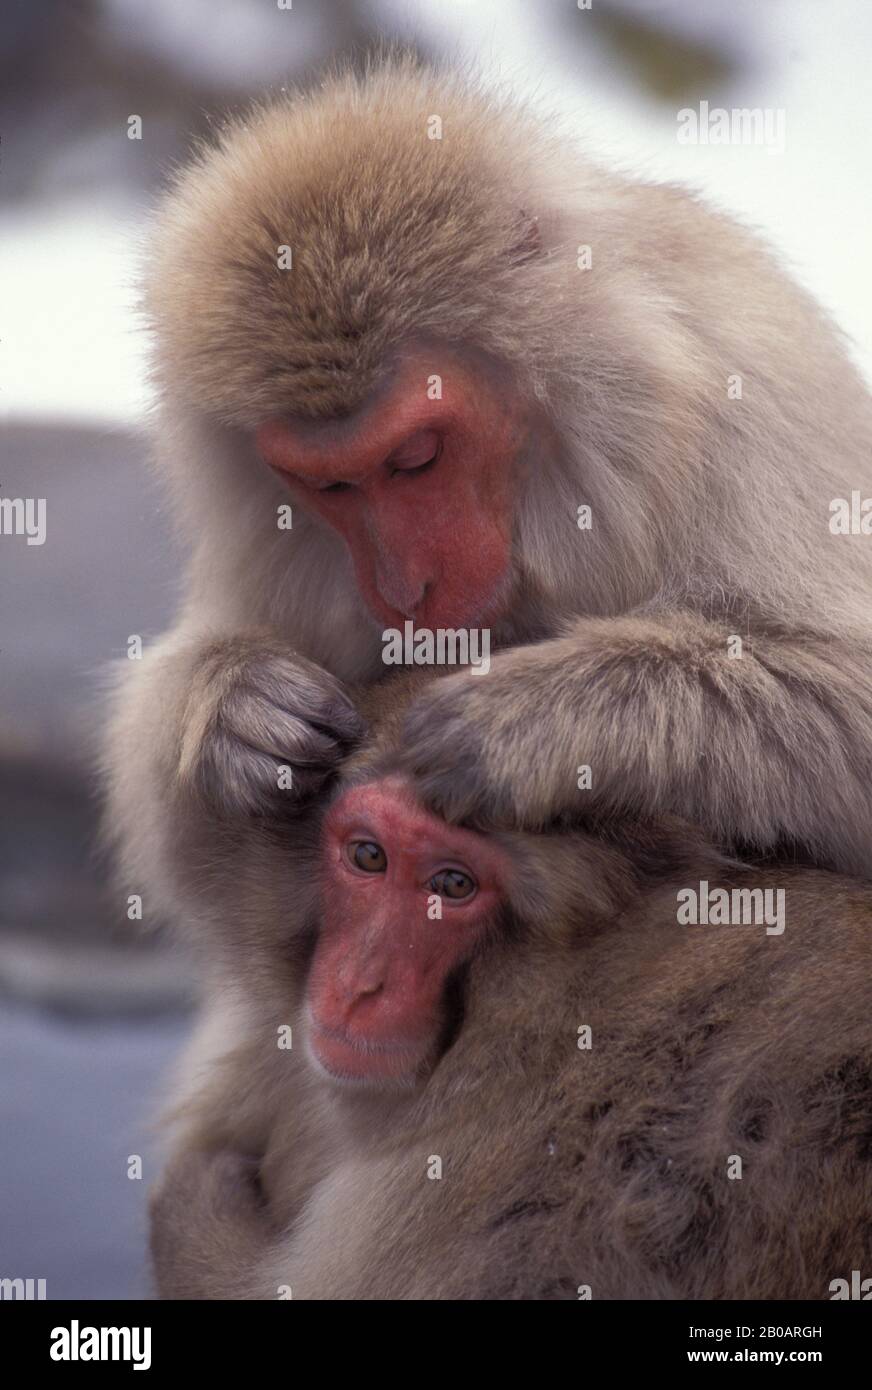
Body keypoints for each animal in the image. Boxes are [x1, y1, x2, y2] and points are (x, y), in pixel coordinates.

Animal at [102, 56, 872, 932]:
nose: (405, 589)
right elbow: (200, 871)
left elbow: (848, 691)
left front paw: (528, 723)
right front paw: (236, 702)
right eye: (330, 484)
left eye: (417, 457)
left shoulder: (754, 388)